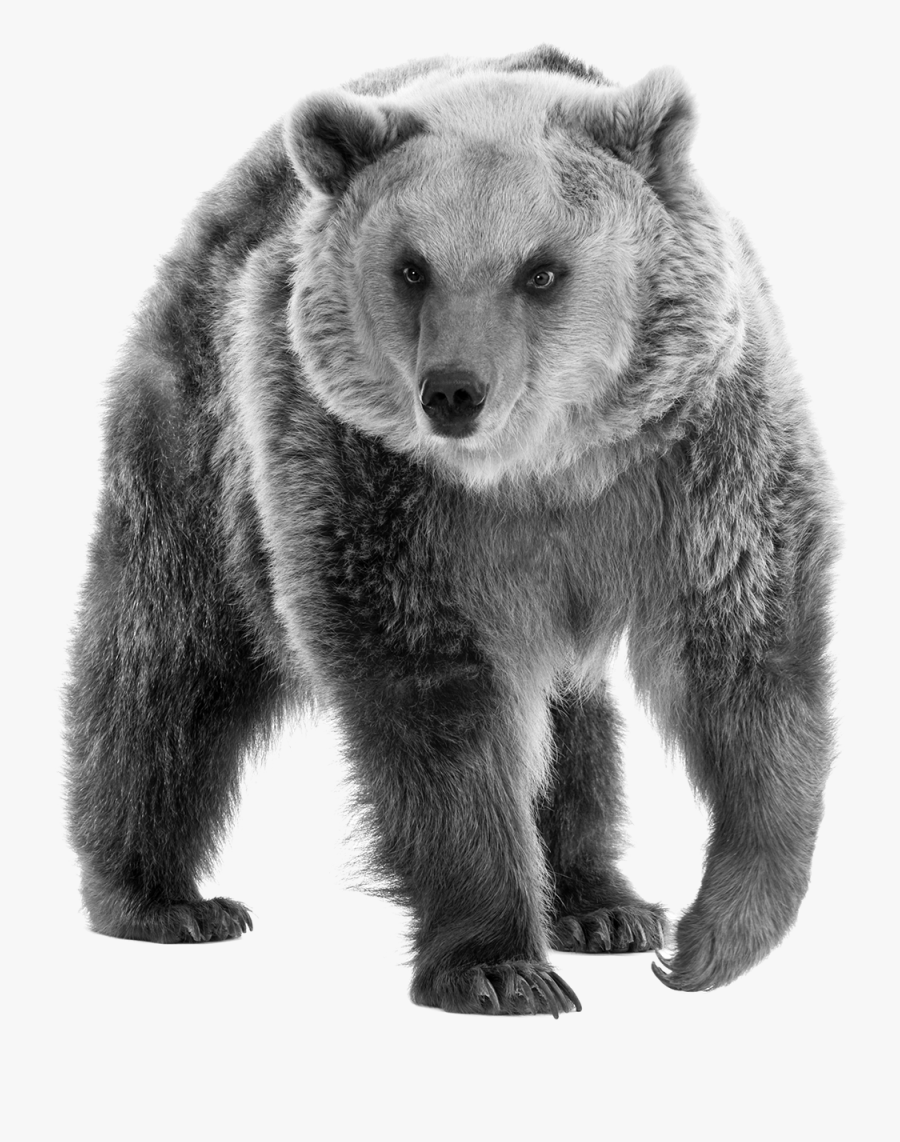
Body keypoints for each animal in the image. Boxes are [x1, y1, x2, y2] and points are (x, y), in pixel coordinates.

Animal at [65, 45, 838, 1015]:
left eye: (540, 269)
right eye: (412, 267)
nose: (454, 391)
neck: (542, 470)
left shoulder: (698, 455)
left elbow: (743, 658)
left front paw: (710, 938)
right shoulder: (376, 490)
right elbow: (437, 709)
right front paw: (500, 966)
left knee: (572, 721)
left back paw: (601, 904)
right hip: (199, 455)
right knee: (167, 665)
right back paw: (161, 898)